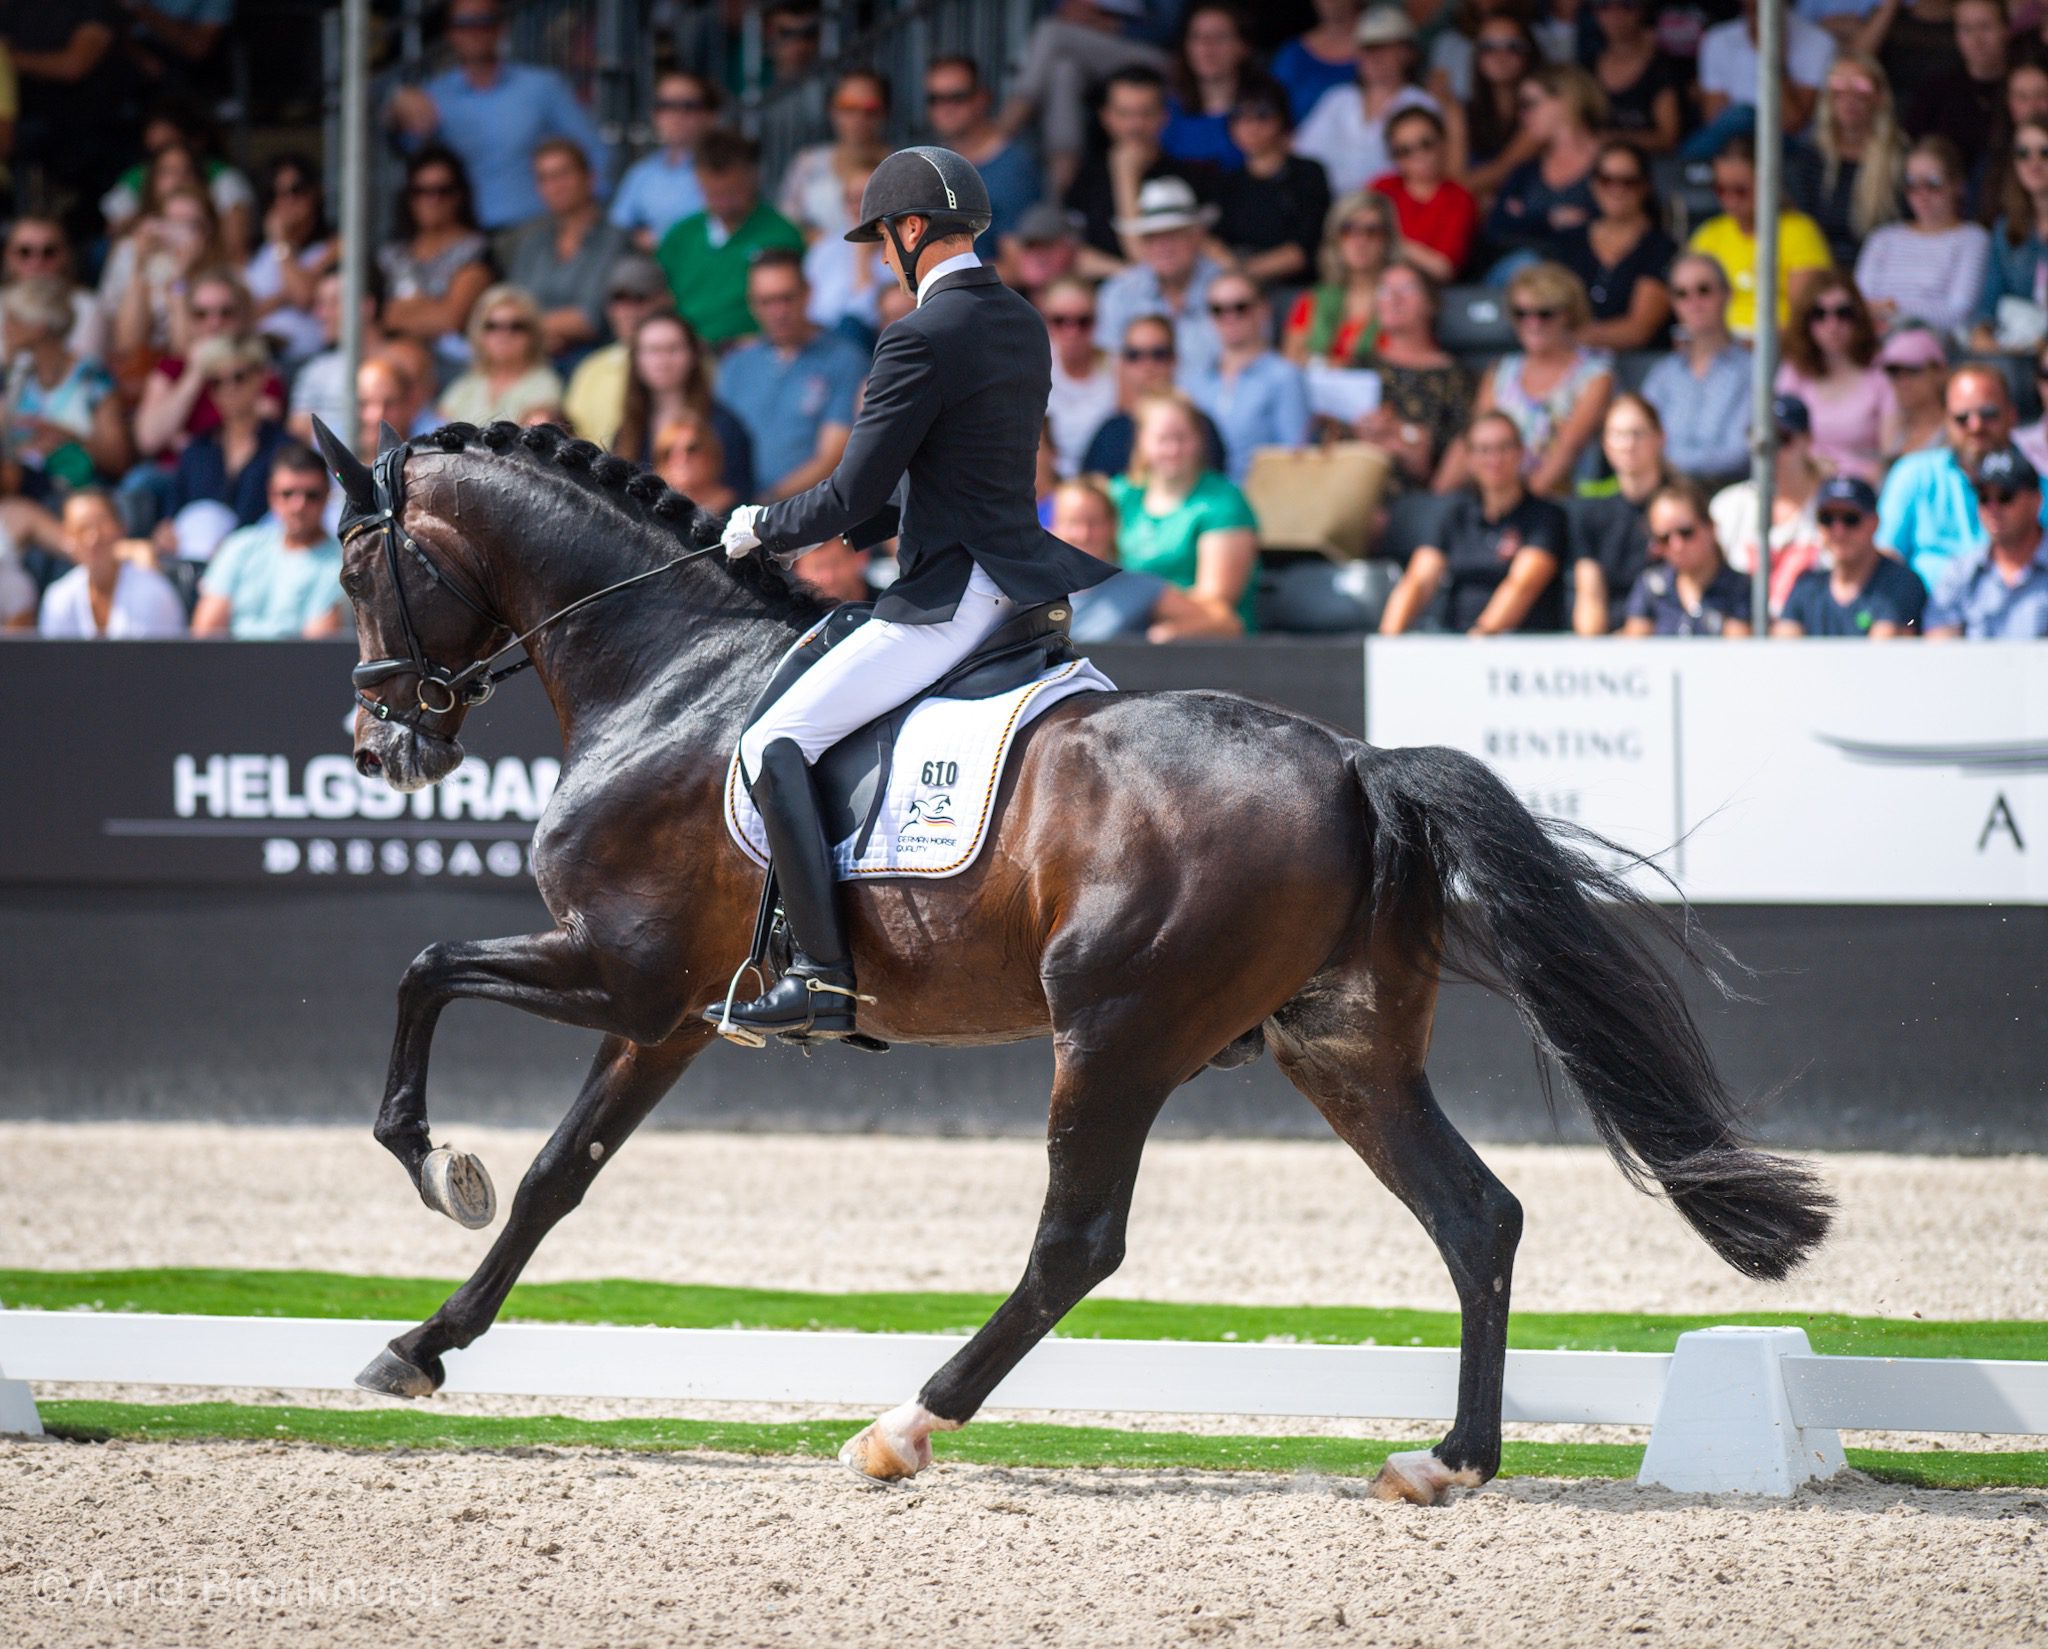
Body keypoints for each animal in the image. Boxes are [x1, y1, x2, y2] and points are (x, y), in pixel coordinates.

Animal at [316, 418, 1831, 1504]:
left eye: (347, 568)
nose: (380, 749)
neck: (666, 674)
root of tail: (1351, 762)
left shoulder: (621, 971)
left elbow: (422, 967)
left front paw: (431, 1162)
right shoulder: (673, 1014)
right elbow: (555, 1180)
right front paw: (421, 1342)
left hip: (1115, 1030)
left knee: (1075, 1242)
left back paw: (901, 1428)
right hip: (1337, 1041)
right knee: (1475, 1217)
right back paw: (1447, 1461)